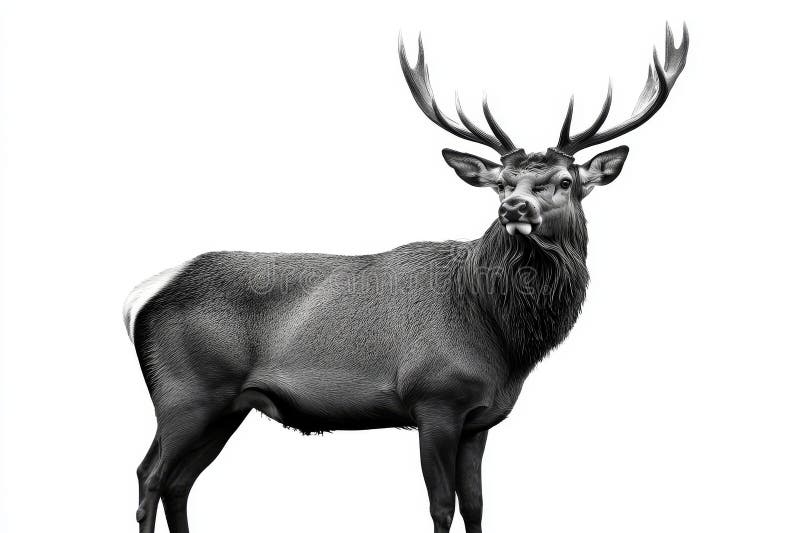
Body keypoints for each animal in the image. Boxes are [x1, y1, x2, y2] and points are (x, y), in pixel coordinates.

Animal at [124, 23, 688, 533]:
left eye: (565, 181)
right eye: (501, 183)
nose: (514, 208)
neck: (501, 340)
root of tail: (141, 297)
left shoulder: (480, 417)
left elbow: (477, 506)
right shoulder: (434, 397)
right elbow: (442, 507)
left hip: (225, 407)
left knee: (178, 483)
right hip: (186, 393)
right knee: (149, 476)